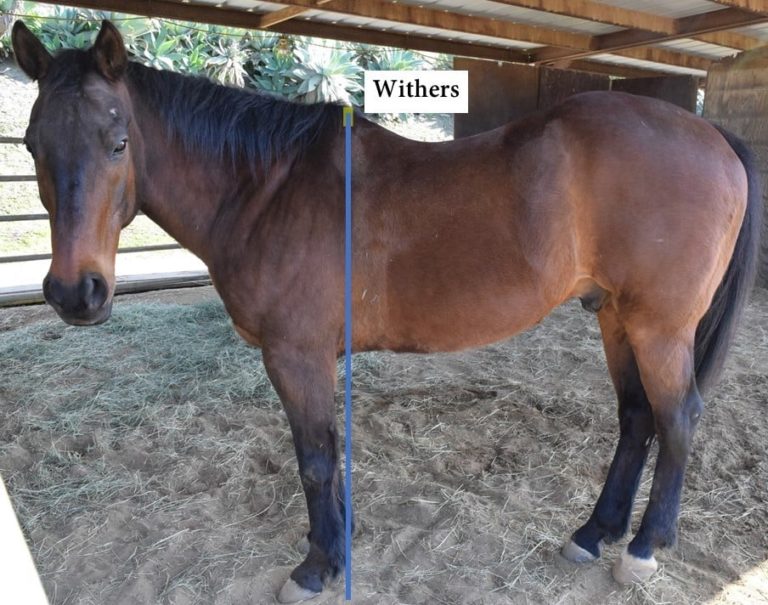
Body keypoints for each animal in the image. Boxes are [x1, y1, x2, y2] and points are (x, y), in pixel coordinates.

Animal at [11, 19, 761, 603]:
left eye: (118, 144)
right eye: (32, 146)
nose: (76, 293)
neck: (267, 188)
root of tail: (712, 133)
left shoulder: (296, 356)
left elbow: (316, 459)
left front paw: (317, 567)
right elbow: (328, 456)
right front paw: (337, 545)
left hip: (658, 327)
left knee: (677, 419)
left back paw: (643, 548)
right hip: (614, 316)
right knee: (637, 419)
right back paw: (593, 533)